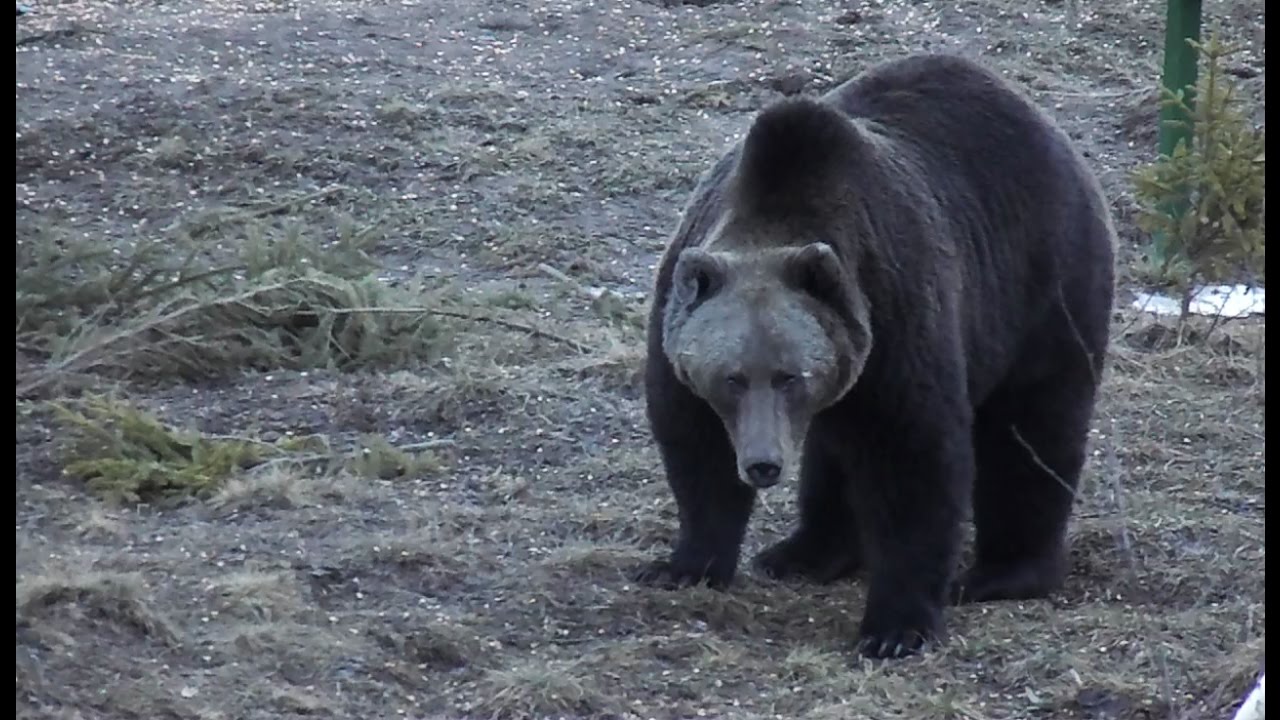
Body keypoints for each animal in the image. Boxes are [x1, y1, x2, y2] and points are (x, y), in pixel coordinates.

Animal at [634, 53, 1118, 660]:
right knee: (836, 448)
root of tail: (1045, 124)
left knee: (1032, 429)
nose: (764, 464)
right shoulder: (680, 320)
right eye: (732, 377)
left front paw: (895, 628)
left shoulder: (895, 311)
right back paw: (805, 553)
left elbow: (912, 457)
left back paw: (1002, 572)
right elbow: (695, 446)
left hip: (1043, 288)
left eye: (789, 376)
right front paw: (682, 566)